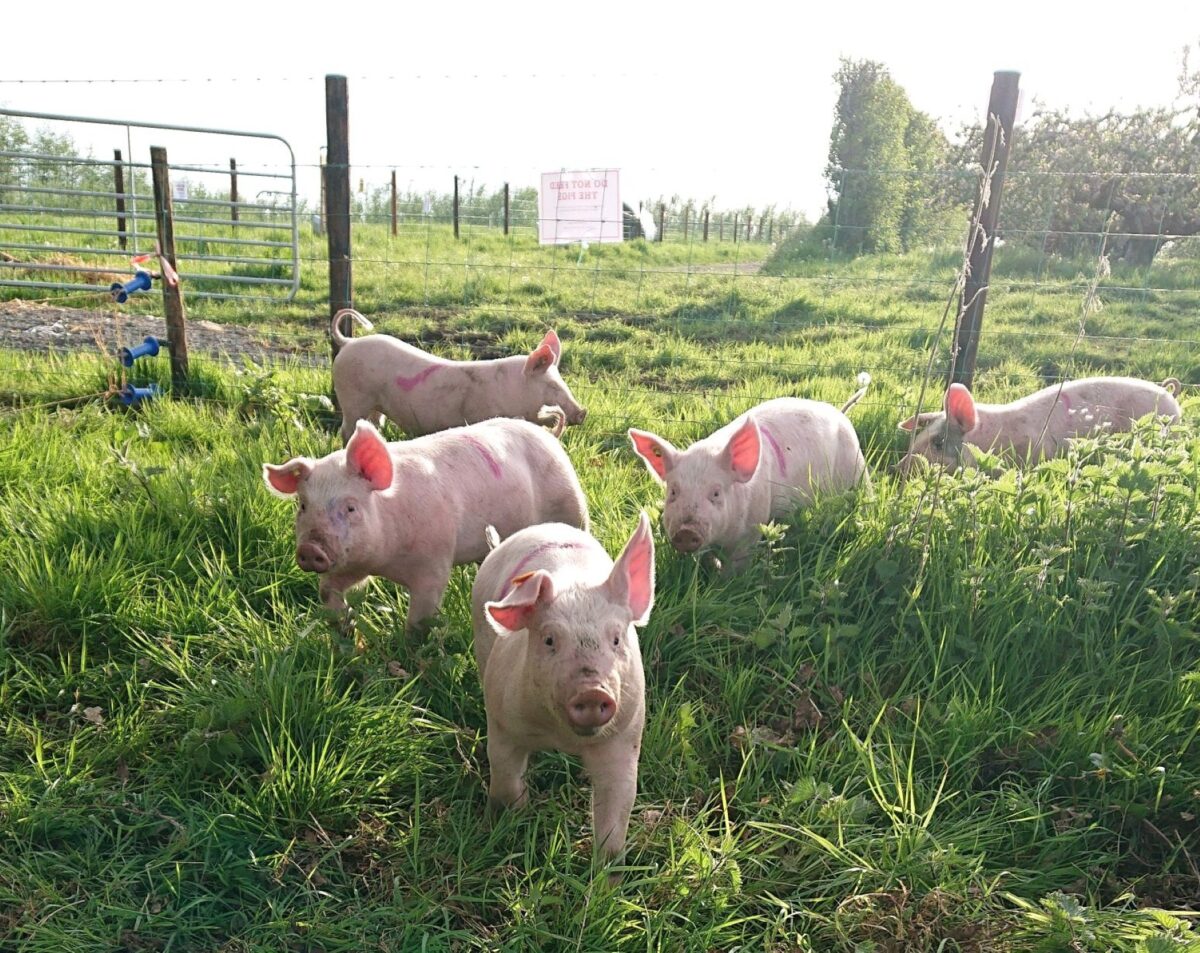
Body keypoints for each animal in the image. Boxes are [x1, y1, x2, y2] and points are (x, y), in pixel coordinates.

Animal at [262, 417, 589, 632]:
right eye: (303, 506)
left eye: (351, 507)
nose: (310, 549)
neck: (386, 561)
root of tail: (548, 434)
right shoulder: (352, 561)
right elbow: (329, 590)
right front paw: (344, 627)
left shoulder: (434, 564)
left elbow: (419, 620)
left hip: (571, 505)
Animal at [330, 309, 587, 443]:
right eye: (553, 386)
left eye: (562, 382)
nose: (582, 412)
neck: (511, 389)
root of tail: (348, 342)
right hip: (352, 398)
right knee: (346, 429)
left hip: (373, 404)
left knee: (373, 424)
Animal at [472, 512, 655, 865]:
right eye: (549, 640)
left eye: (616, 639)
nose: (592, 691)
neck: (562, 739)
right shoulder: (502, 721)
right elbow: (504, 776)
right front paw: (511, 822)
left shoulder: (625, 735)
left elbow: (617, 808)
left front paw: (607, 874)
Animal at [628, 385, 869, 569]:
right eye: (673, 491)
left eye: (716, 493)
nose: (686, 531)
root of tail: (841, 413)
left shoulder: (752, 529)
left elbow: (737, 566)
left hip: (857, 470)